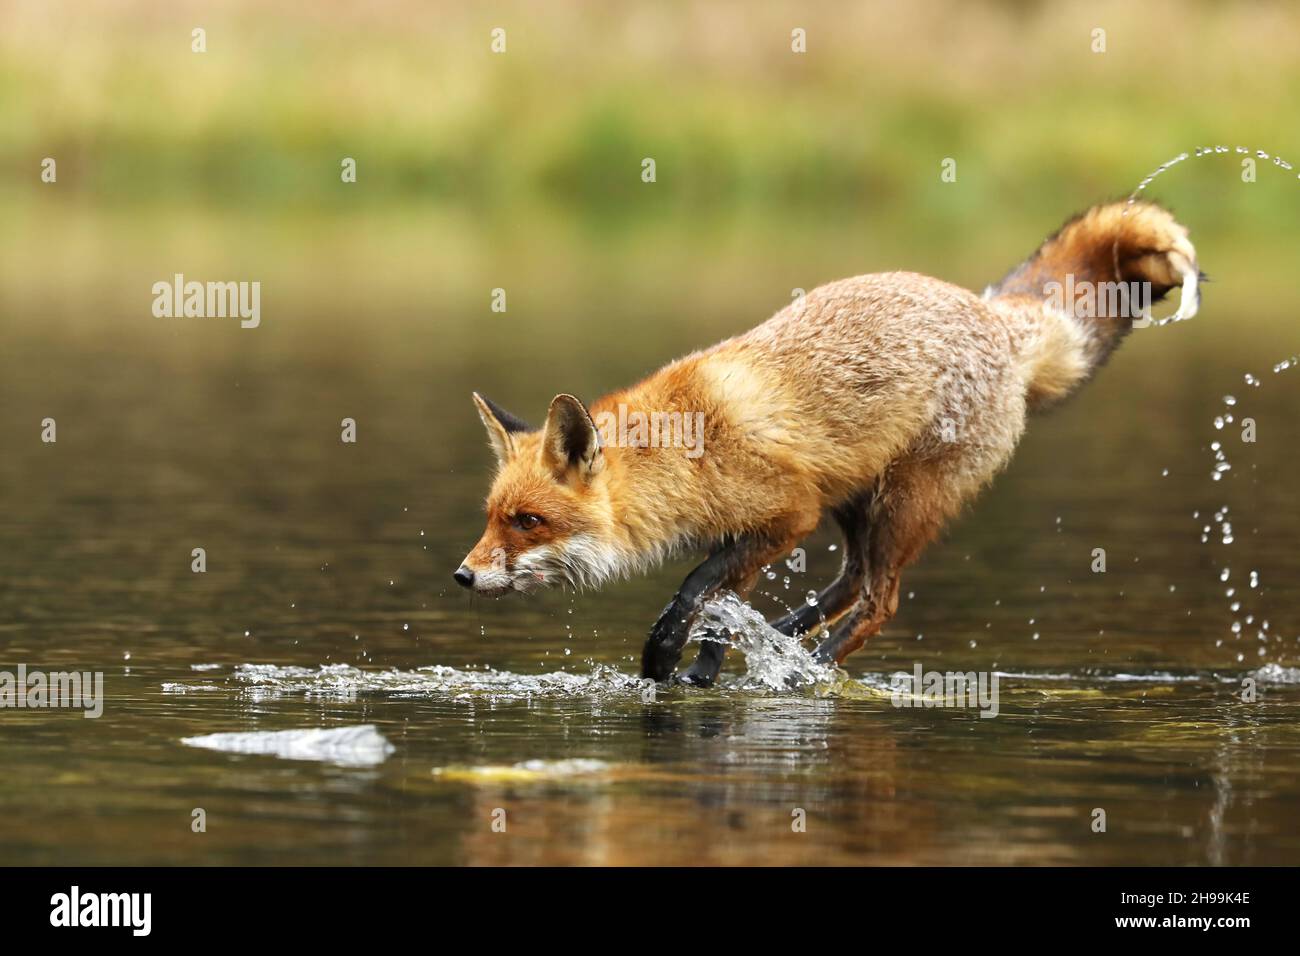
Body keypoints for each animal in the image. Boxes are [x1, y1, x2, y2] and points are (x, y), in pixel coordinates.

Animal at [454, 201, 1201, 686]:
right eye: (491, 518)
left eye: (529, 522)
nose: (462, 575)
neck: (684, 452)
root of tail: (994, 314)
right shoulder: (764, 530)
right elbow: (719, 606)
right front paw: (701, 669)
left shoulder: (787, 514)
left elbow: (695, 587)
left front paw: (668, 655)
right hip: (855, 501)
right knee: (850, 583)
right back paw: (787, 642)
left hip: (904, 501)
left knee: (879, 601)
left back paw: (807, 670)